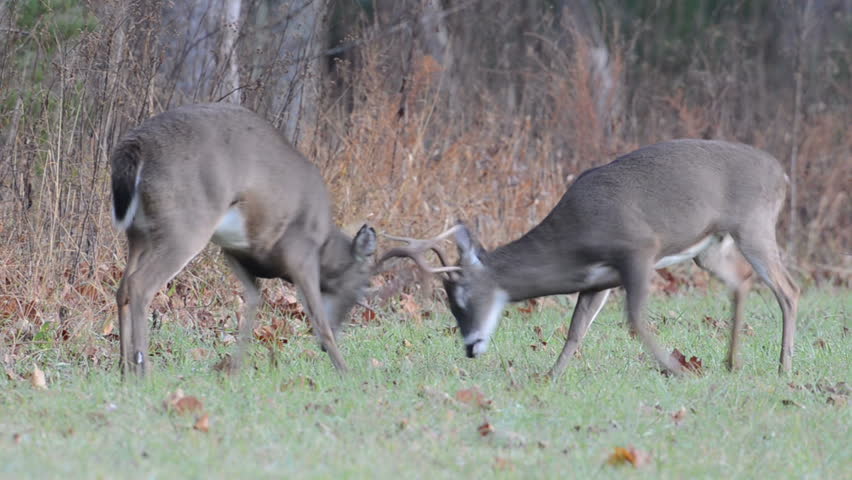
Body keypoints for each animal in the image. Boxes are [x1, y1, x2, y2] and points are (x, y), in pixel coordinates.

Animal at [111, 102, 378, 377]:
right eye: (361, 289)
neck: (324, 245)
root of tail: (135, 146)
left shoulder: (236, 252)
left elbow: (253, 302)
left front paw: (235, 369)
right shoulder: (300, 253)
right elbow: (319, 320)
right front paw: (346, 372)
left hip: (139, 232)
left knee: (122, 288)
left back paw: (124, 368)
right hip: (185, 227)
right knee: (140, 284)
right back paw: (143, 370)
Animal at [380, 139, 799, 378]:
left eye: (462, 299)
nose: (470, 346)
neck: (575, 237)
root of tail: (783, 174)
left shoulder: (639, 249)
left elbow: (635, 319)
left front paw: (676, 370)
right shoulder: (599, 279)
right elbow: (576, 330)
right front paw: (550, 377)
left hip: (754, 224)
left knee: (789, 289)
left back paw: (784, 367)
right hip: (710, 248)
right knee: (743, 282)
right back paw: (733, 363)